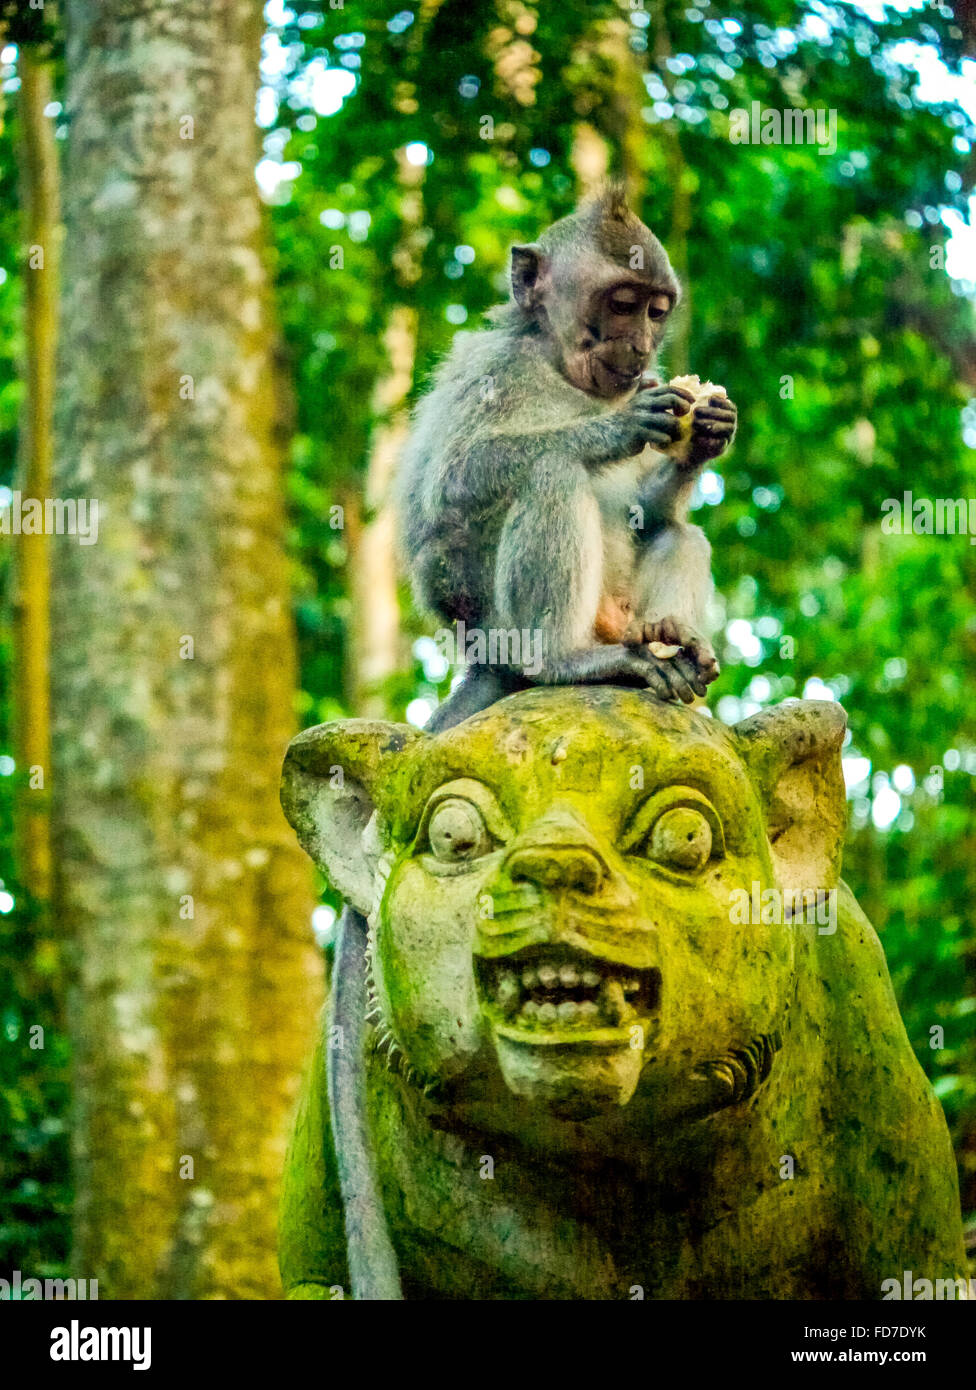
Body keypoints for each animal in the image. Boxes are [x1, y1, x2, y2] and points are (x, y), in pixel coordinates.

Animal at [396, 185, 737, 733]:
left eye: (656, 311)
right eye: (623, 305)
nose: (641, 346)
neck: (561, 369)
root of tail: (484, 659)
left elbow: (649, 512)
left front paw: (706, 436)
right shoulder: (494, 368)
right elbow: (452, 483)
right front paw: (617, 429)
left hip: (618, 615)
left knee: (676, 531)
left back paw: (668, 635)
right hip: (498, 627)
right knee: (550, 473)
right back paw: (561, 661)